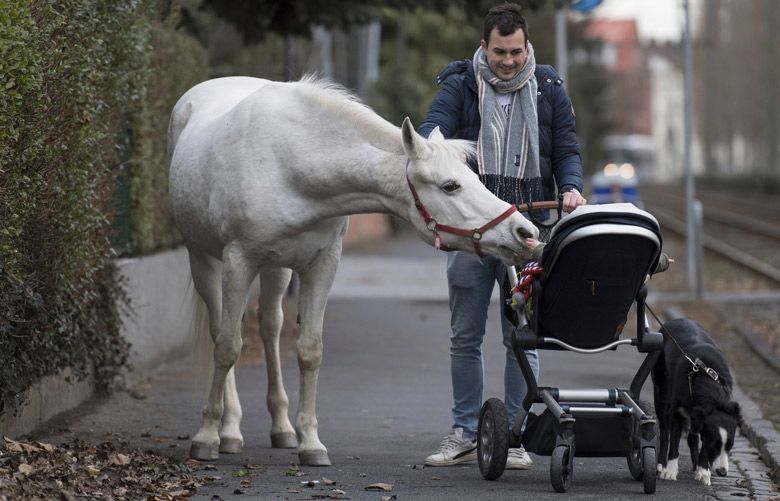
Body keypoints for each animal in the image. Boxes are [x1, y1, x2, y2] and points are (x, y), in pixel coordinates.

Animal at [167, 75, 539, 466]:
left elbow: (309, 351)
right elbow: (227, 348)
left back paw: (281, 427)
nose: (524, 232)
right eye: (450, 185)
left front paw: (310, 443)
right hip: (204, 258)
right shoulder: (238, 261)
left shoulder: (322, 265)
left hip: (275, 269)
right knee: (220, 331)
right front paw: (206, 436)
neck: (290, 164)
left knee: (269, 327)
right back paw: (229, 430)